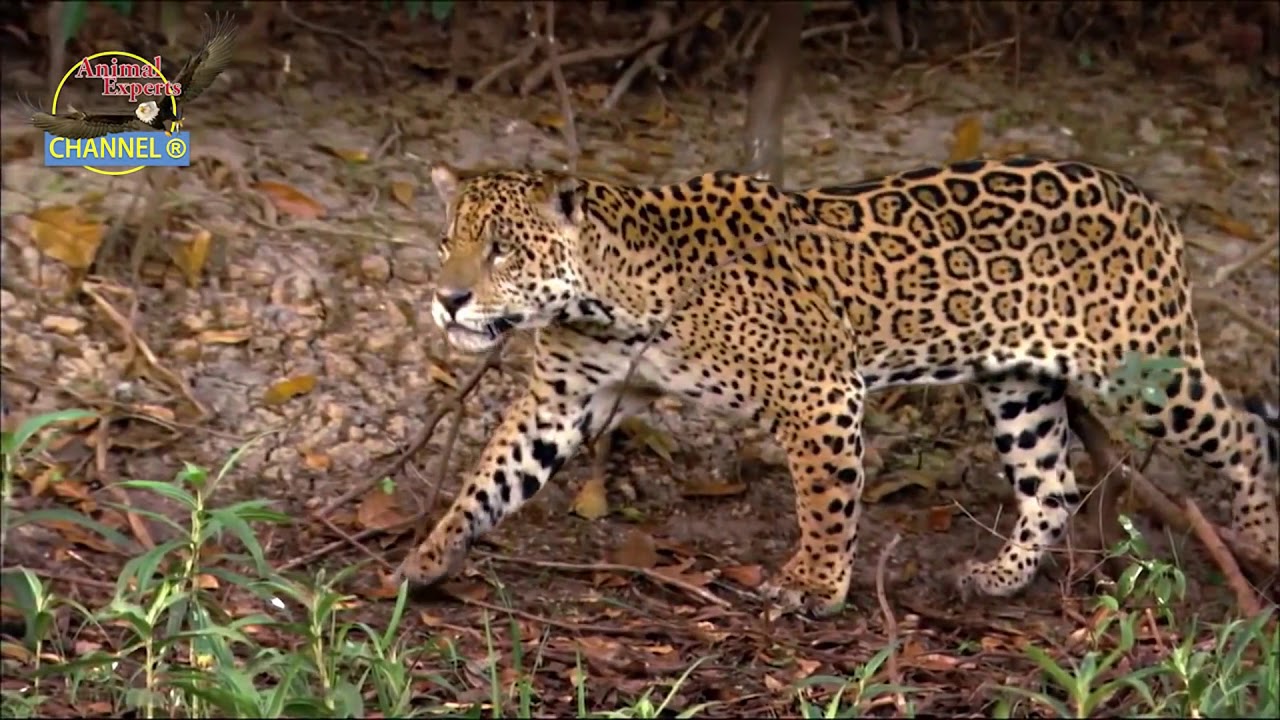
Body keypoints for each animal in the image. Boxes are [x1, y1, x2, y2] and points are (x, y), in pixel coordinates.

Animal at [395, 156, 1280, 617]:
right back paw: (998, 577)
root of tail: (1145, 197)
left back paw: (1261, 544)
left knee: (1242, 430)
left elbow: (824, 501)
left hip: (1143, 369)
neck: (612, 295)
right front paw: (428, 557)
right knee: (1052, 480)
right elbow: (491, 476)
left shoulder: (816, 393)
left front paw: (814, 586)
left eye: (503, 249)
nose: (448, 298)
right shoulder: (564, 397)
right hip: (1018, 383)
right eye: (445, 244)